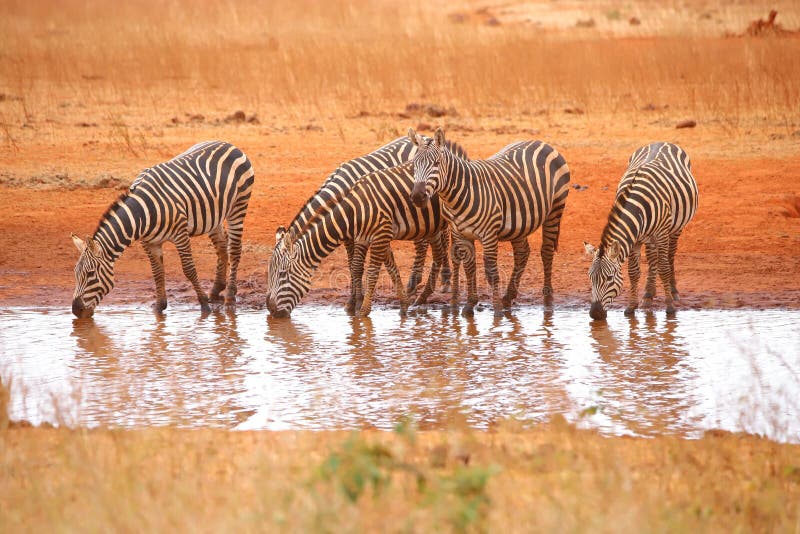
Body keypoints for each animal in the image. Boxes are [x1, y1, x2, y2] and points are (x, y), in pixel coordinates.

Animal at [71, 140, 254, 318]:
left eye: (91, 274)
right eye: (75, 273)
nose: (76, 311)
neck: (143, 213)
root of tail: (228, 144)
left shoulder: (180, 234)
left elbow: (189, 269)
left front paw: (204, 305)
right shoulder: (149, 242)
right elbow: (157, 272)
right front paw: (159, 308)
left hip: (238, 205)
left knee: (234, 249)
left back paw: (230, 298)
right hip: (213, 216)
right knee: (222, 247)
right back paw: (216, 291)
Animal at [269, 136, 467, 315]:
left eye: (282, 275)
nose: (271, 311)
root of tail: (427, 137)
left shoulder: (357, 232)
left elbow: (355, 266)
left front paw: (357, 301)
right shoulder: (352, 234)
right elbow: (355, 266)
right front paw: (354, 300)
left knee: (428, 244)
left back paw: (424, 282)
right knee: (435, 243)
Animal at [408, 128, 571, 316]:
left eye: (436, 163)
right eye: (414, 165)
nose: (417, 197)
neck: (456, 196)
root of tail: (541, 142)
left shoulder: (489, 234)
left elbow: (492, 273)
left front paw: (497, 312)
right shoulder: (460, 233)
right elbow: (469, 267)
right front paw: (470, 305)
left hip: (555, 209)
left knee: (546, 251)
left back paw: (547, 300)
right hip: (520, 222)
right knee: (522, 252)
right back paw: (508, 296)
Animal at [583, 142, 698, 320]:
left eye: (609, 278)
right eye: (590, 278)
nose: (595, 314)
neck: (637, 206)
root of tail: (661, 142)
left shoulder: (661, 233)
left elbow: (663, 268)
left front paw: (670, 307)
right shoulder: (634, 238)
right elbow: (633, 272)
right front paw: (631, 307)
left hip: (676, 228)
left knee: (670, 256)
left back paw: (673, 291)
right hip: (649, 236)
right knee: (652, 258)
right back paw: (649, 294)